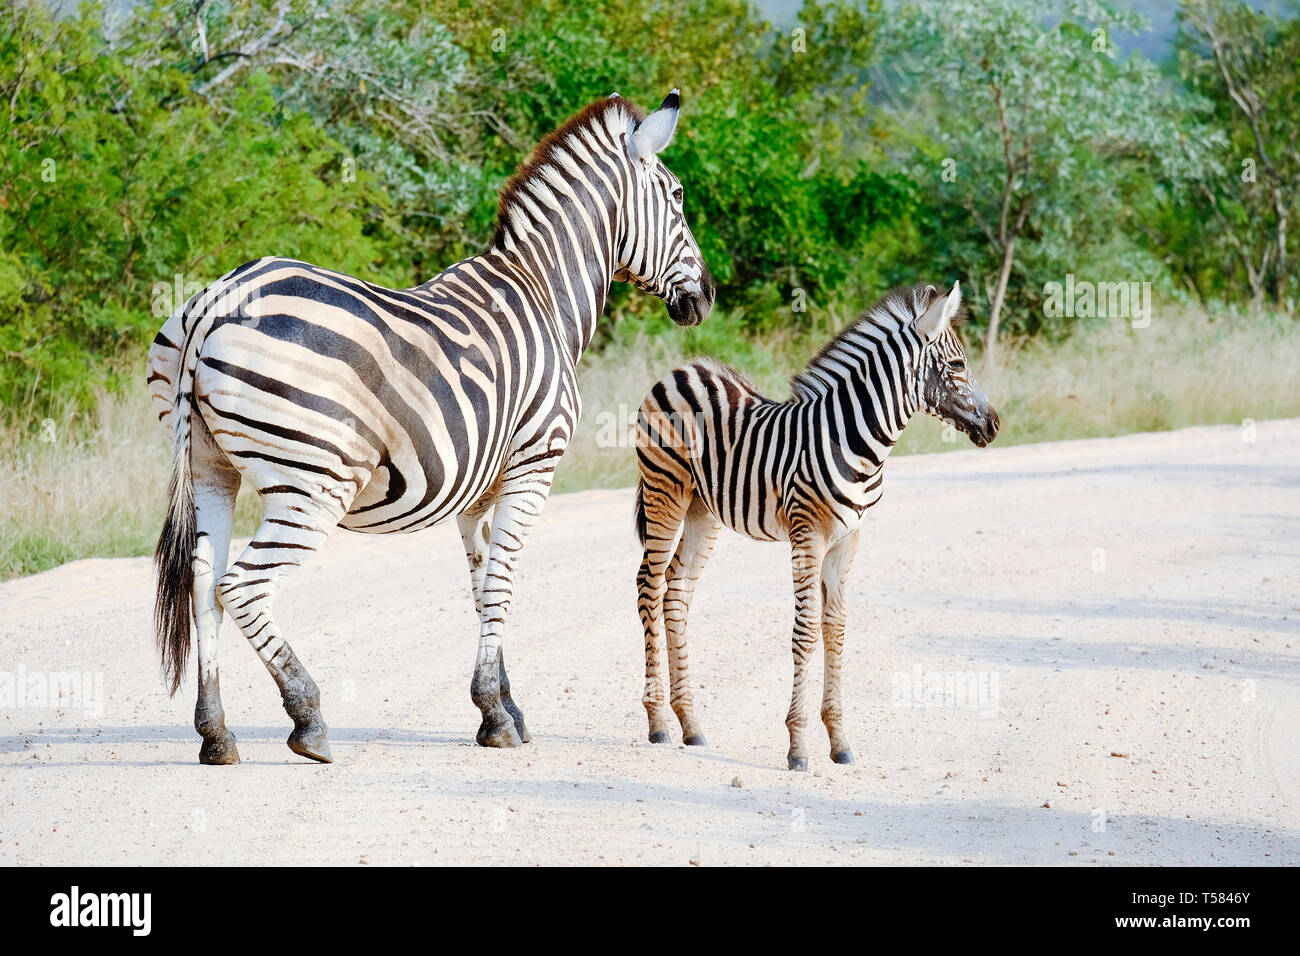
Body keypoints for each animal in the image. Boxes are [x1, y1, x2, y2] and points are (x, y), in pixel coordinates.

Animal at [148, 91, 715, 765]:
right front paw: (497, 714)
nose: (706, 298)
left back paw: (216, 733)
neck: (544, 292)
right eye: (677, 195)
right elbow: (503, 583)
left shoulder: (478, 491)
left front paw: (501, 707)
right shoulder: (534, 465)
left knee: (202, 585)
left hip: (210, 469)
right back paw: (308, 718)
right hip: (312, 483)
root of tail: (213, 303)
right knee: (240, 588)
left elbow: (482, 587)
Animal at [633, 281, 998, 770]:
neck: (853, 441)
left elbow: (835, 629)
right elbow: (806, 632)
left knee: (676, 591)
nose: (995, 425)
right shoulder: (809, 535)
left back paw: (691, 724)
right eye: (957, 365)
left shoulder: (848, 540)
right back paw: (657, 721)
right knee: (649, 585)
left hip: (702, 509)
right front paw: (798, 746)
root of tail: (682, 369)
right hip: (665, 492)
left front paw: (839, 741)